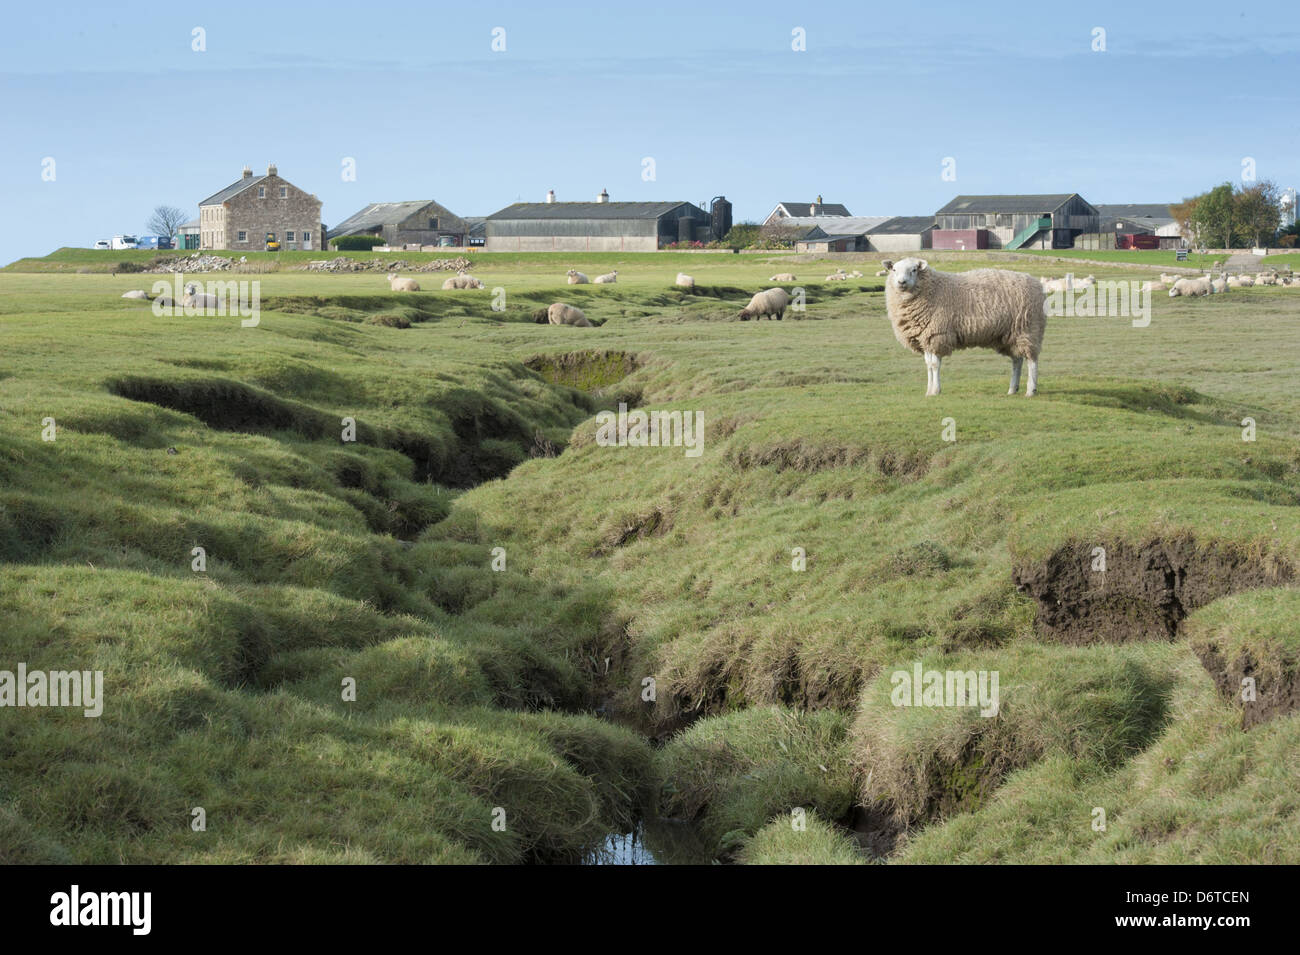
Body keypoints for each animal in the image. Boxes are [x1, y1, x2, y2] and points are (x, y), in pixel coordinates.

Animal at [882, 257, 1046, 397]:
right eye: (894, 269)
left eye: (914, 270)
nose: (901, 282)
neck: (932, 288)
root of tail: (1037, 284)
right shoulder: (926, 338)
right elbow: (928, 365)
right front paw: (929, 391)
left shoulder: (937, 335)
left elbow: (935, 365)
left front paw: (936, 390)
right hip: (1010, 335)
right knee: (1017, 360)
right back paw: (1012, 389)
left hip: (1028, 329)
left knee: (1032, 360)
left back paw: (1031, 390)